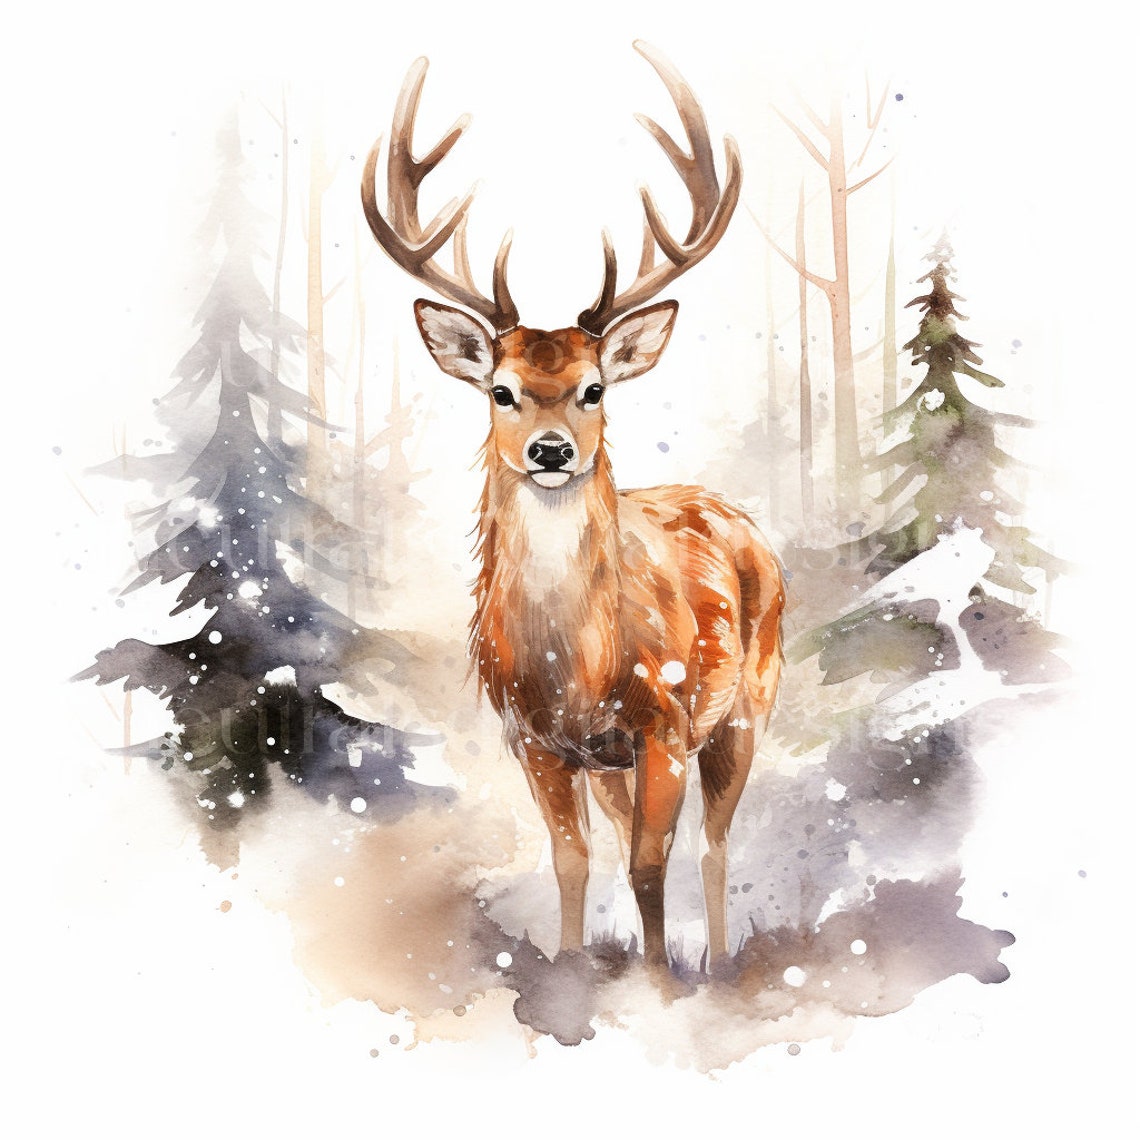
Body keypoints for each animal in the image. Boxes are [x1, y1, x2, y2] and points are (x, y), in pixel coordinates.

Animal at [361, 42, 783, 969]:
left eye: (594, 388)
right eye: (502, 390)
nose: (552, 451)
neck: (576, 670)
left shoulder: (665, 725)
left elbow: (654, 863)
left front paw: (660, 979)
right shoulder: (537, 740)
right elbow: (574, 861)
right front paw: (571, 969)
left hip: (749, 701)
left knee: (716, 843)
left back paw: (719, 958)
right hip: (617, 763)